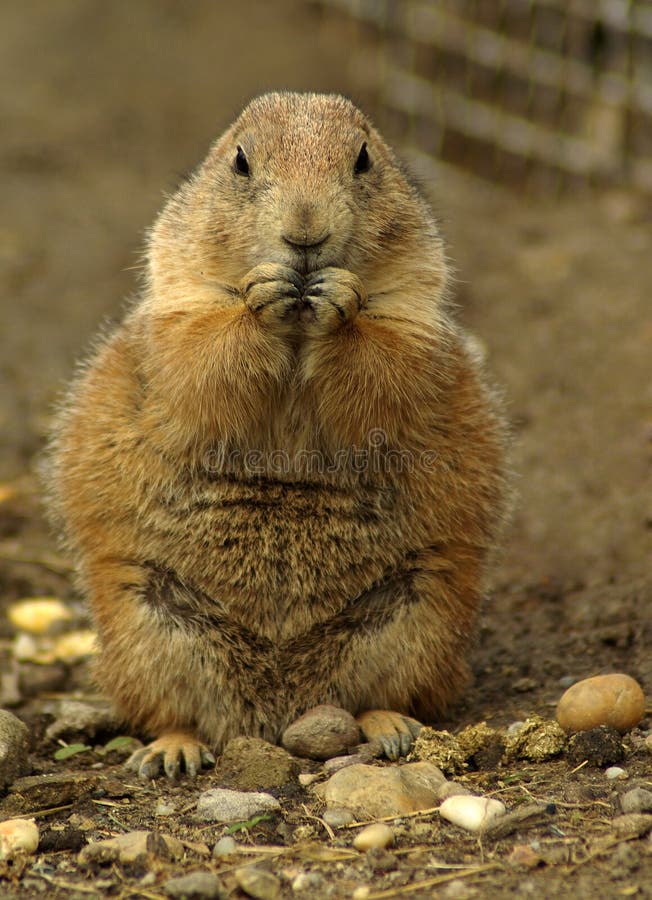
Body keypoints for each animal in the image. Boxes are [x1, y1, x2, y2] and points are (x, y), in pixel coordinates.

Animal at [46, 92, 509, 778]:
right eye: (240, 161)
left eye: (364, 158)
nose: (305, 233)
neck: (298, 325)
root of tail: (275, 709)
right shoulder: (178, 304)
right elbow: (198, 359)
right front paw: (259, 297)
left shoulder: (414, 312)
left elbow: (389, 366)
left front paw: (340, 301)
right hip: (142, 622)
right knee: (170, 711)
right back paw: (174, 750)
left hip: (421, 612)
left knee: (382, 695)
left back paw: (391, 728)